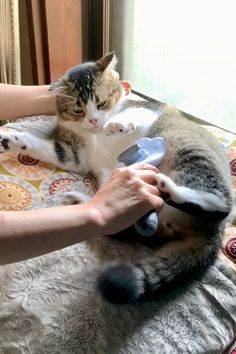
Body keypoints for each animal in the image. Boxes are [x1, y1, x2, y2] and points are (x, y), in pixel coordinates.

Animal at [0, 53, 232, 304]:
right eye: (78, 110)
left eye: (101, 103)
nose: (95, 121)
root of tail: (214, 235)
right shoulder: (76, 155)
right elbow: (47, 148)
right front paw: (11, 139)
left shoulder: (147, 110)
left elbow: (131, 115)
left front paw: (115, 125)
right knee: (120, 228)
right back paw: (81, 200)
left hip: (186, 146)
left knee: (222, 205)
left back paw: (173, 190)